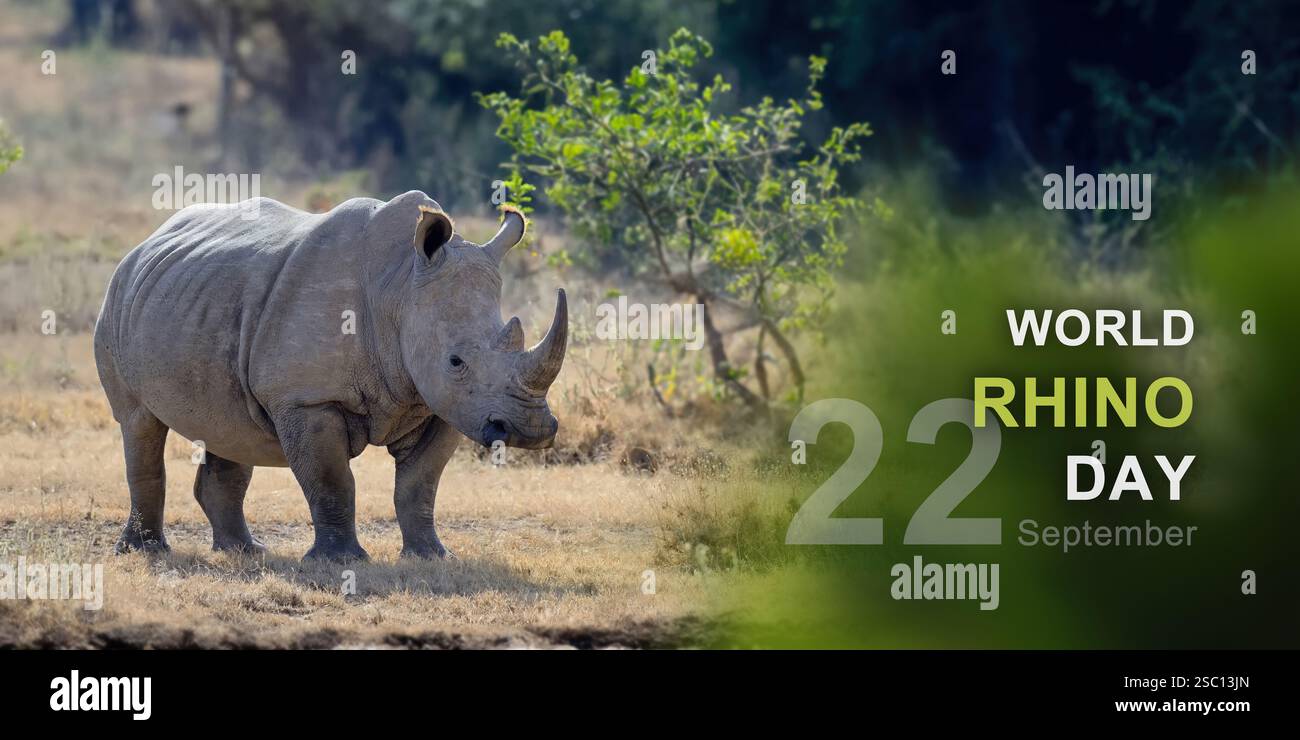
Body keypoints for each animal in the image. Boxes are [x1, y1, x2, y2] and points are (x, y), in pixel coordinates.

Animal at [93, 191, 566, 561]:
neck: (398, 290)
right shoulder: (307, 398)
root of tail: (146, 243)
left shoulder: (444, 403)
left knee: (228, 425)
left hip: (198, 298)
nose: (530, 430)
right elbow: (332, 480)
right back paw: (144, 552)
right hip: (117, 301)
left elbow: (420, 483)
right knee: (139, 423)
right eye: (455, 361)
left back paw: (246, 551)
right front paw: (342, 562)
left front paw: (432, 557)